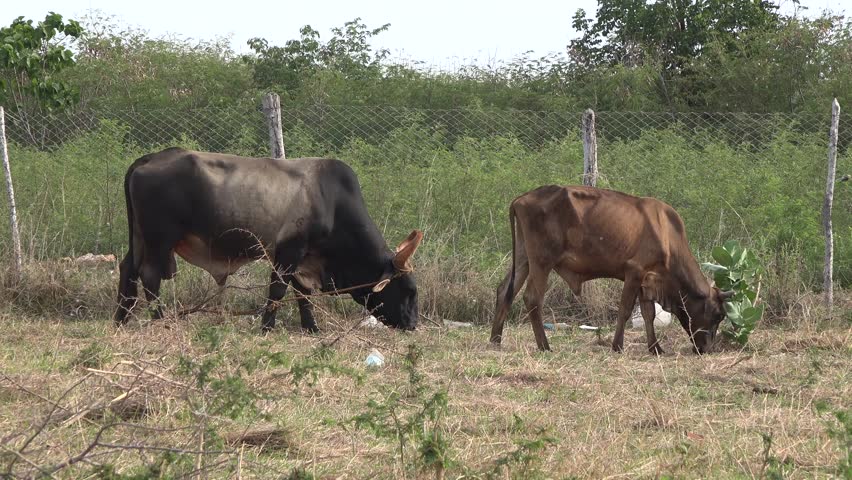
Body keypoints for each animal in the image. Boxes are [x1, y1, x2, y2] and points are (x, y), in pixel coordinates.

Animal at [114, 147, 423, 332]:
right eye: (409, 290)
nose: (412, 325)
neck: (332, 202)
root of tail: (150, 158)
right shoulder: (289, 250)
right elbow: (278, 290)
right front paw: (266, 327)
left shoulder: (305, 258)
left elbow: (303, 294)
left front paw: (311, 328)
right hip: (159, 240)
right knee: (149, 276)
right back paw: (160, 320)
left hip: (140, 238)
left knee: (128, 268)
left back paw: (121, 318)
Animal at [490, 185, 733, 354]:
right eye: (718, 315)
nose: (707, 349)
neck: (666, 233)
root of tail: (521, 198)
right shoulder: (634, 271)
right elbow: (625, 310)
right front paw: (617, 346)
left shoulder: (646, 280)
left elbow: (649, 313)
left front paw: (655, 348)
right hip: (542, 261)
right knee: (532, 298)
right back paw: (544, 345)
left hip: (523, 259)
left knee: (504, 291)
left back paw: (495, 339)